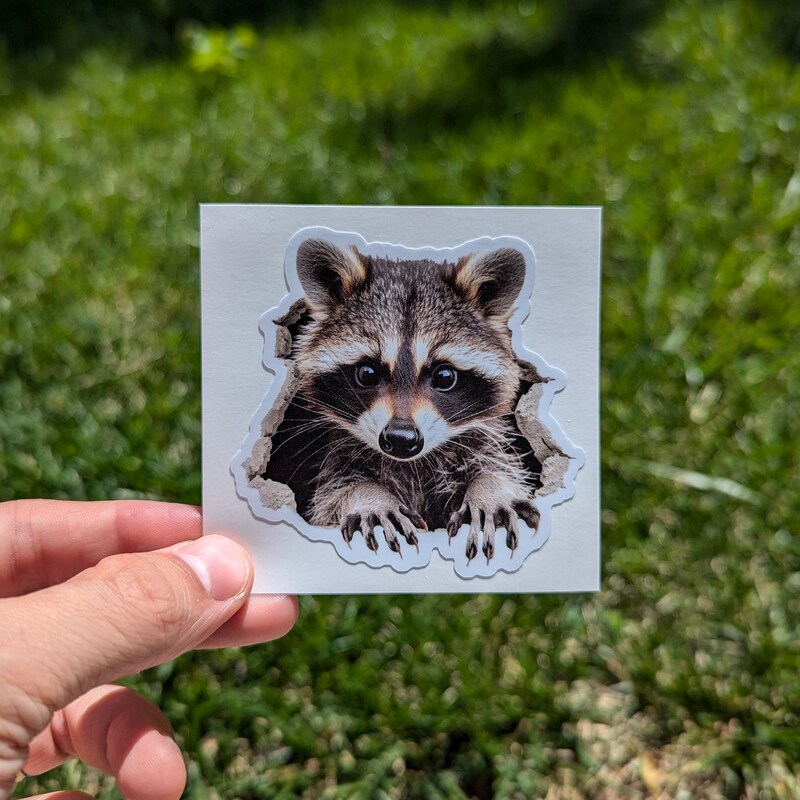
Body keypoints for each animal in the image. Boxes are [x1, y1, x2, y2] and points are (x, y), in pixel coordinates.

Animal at [262, 238, 542, 563]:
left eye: (444, 376)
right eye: (368, 373)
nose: (401, 438)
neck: (412, 465)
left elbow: (497, 462)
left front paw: (490, 487)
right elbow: (331, 497)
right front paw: (367, 495)